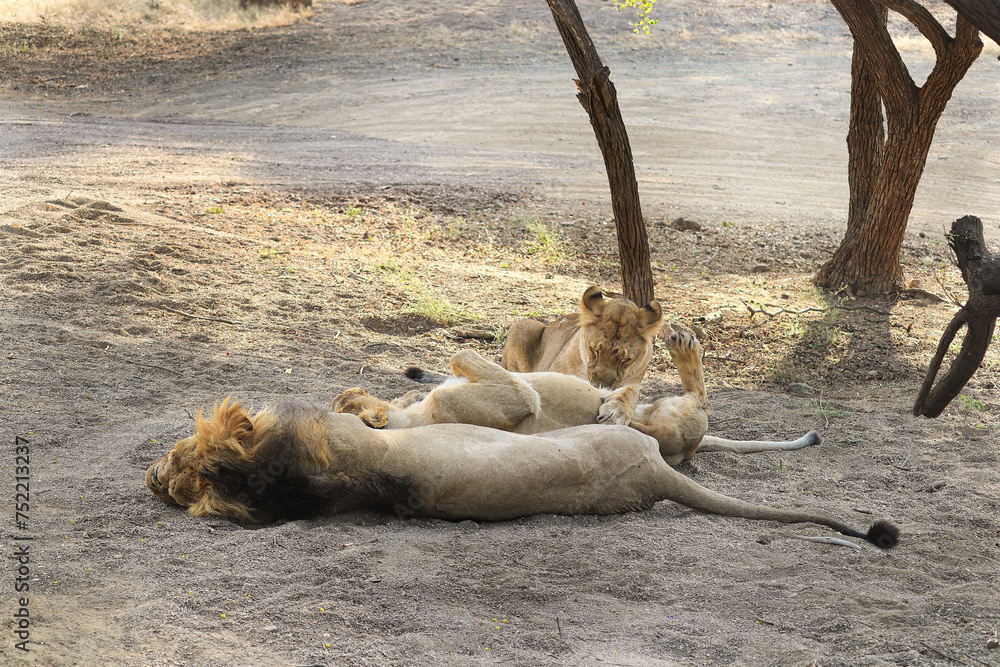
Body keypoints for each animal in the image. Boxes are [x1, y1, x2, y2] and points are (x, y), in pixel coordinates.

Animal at [335, 330, 820, 465]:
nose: (347, 395)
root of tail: (689, 447)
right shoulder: (519, 394)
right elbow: (461, 355)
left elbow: (453, 360)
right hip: (673, 420)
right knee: (699, 401)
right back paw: (682, 352)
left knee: (636, 391)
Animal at [500, 285, 663, 424]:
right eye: (594, 350)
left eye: (626, 360)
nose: (601, 387)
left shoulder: (633, 381)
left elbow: (629, 394)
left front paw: (616, 412)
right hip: (522, 326)